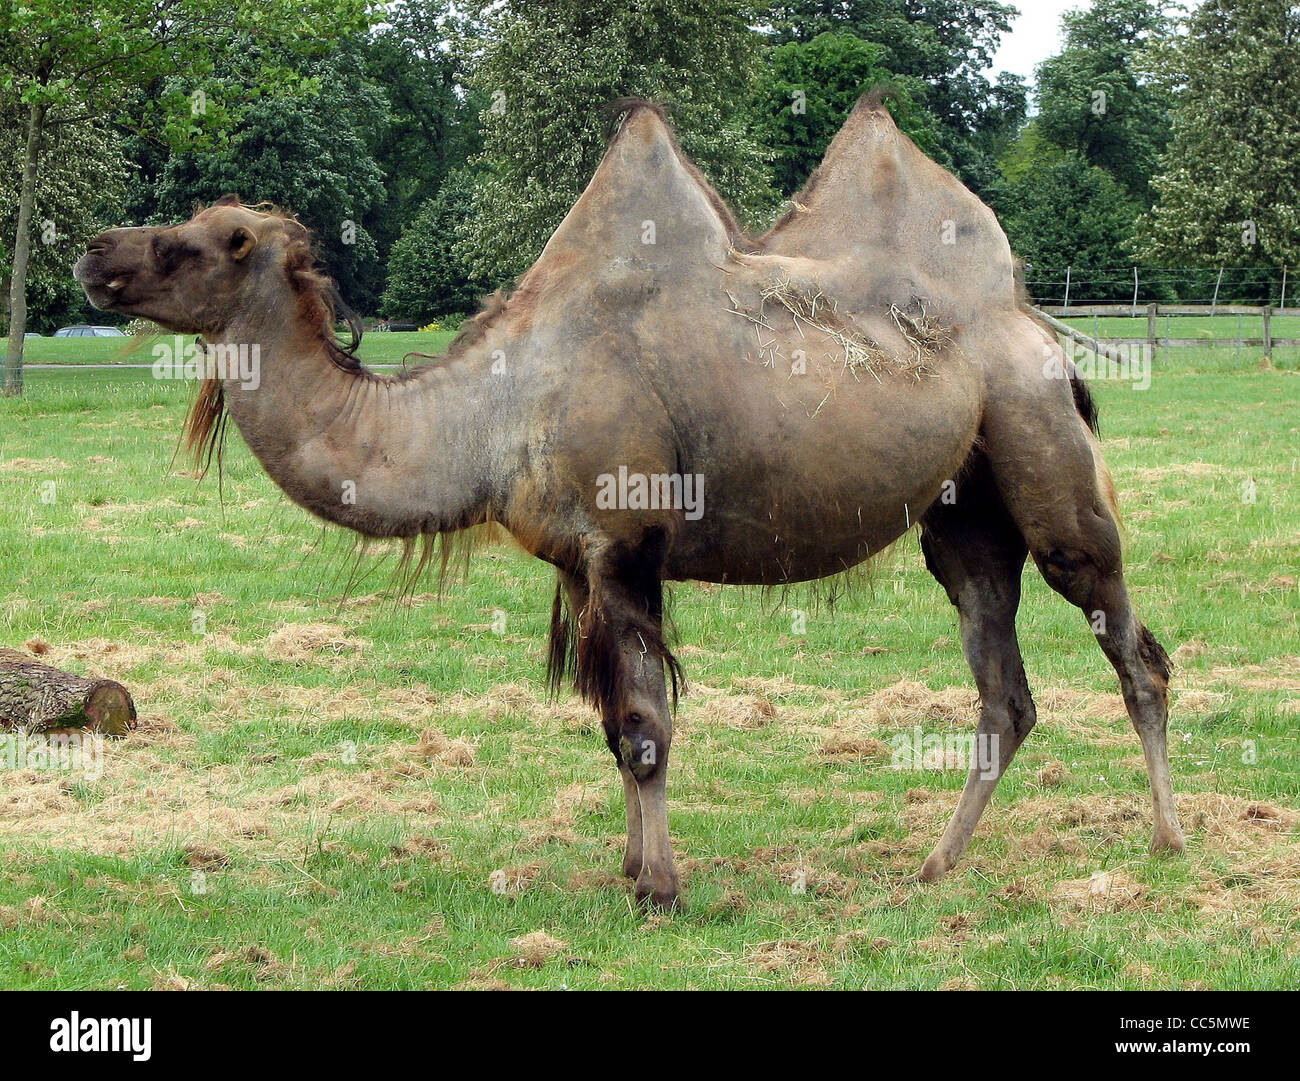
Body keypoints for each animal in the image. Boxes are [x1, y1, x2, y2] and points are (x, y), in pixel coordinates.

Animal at [74, 94, 1184, 910]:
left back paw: (1167, 840)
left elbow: (645, 727)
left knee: (1131, 644)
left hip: (1044, 455)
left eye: (214, 240)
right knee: (1005, 686)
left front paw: (660, 889)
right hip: (963, 516)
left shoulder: (625, 543)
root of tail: (1040, 330)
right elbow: (612, 725)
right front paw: (631, 867)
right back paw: (934, 864)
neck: (494, 411)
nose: (94, 251)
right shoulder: (578, 562)